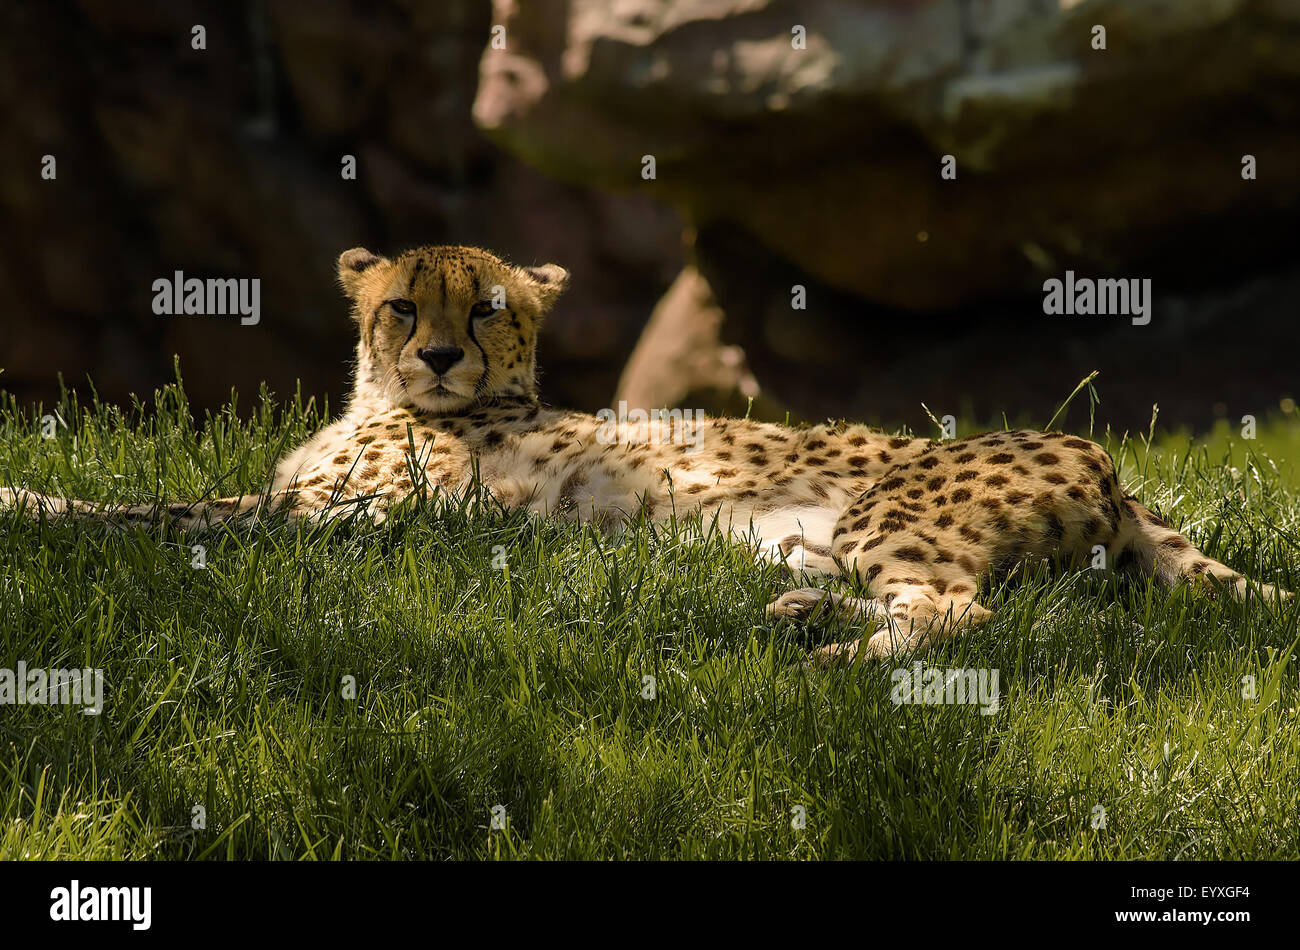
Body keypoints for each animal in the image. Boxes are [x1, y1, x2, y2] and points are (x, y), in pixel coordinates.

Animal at [2, 244, 1290, 663]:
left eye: (488, 309)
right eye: (405, 302)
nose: (438, 358)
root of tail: (1108, 462)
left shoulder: (338, 522)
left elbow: (151, 511)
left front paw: (21, 495)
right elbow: (161, 506)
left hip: (891, 510)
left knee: (961, 613)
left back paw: (832, 659)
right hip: (825, 534)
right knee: (925, 600)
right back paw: (802, 615)